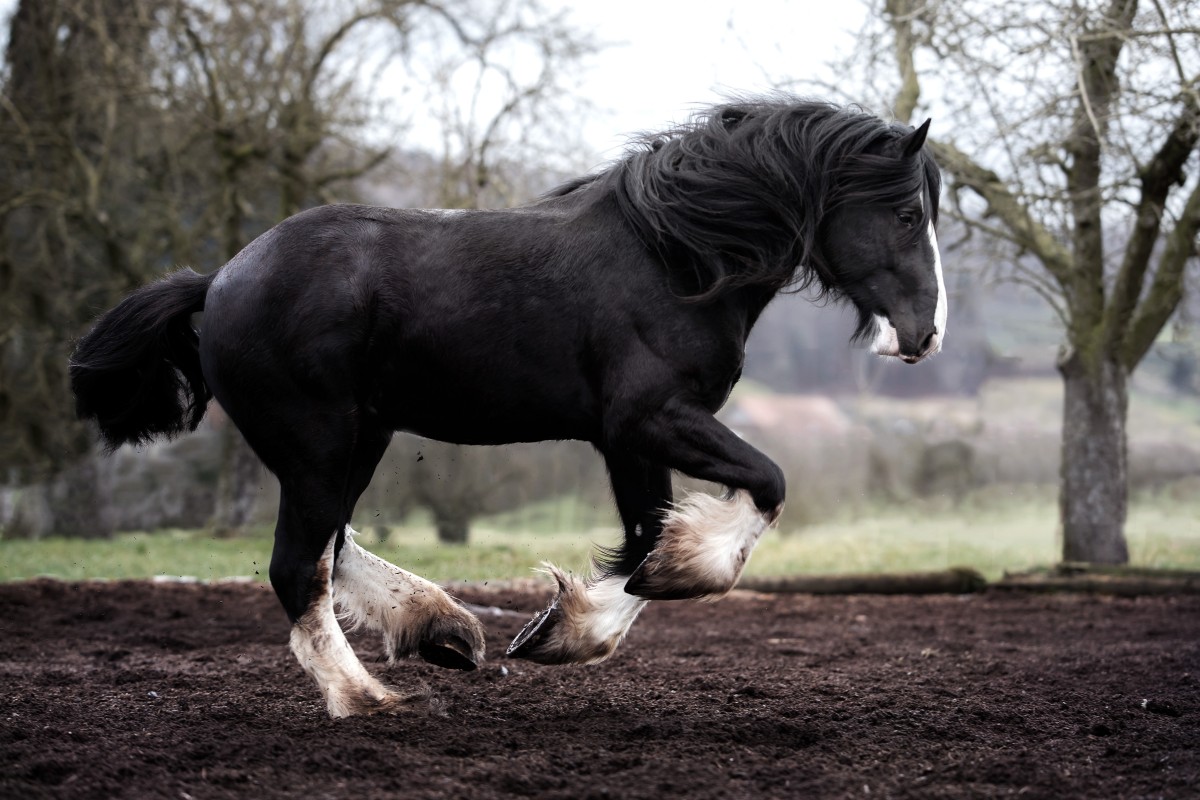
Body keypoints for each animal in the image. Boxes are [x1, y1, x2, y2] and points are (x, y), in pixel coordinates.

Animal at [70, 98, 946, 718]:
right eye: (907, 214)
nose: (925, 333)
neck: (675, 261)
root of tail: (216, 281)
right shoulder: (648, 419)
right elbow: (762, 487)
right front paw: (667, 577)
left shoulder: (630, 441)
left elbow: (641, 542)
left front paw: (561, 632)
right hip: (318, 444)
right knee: (298, 566)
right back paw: (368, 697)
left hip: (360, 437)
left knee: (332, 547)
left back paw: (443, 630)